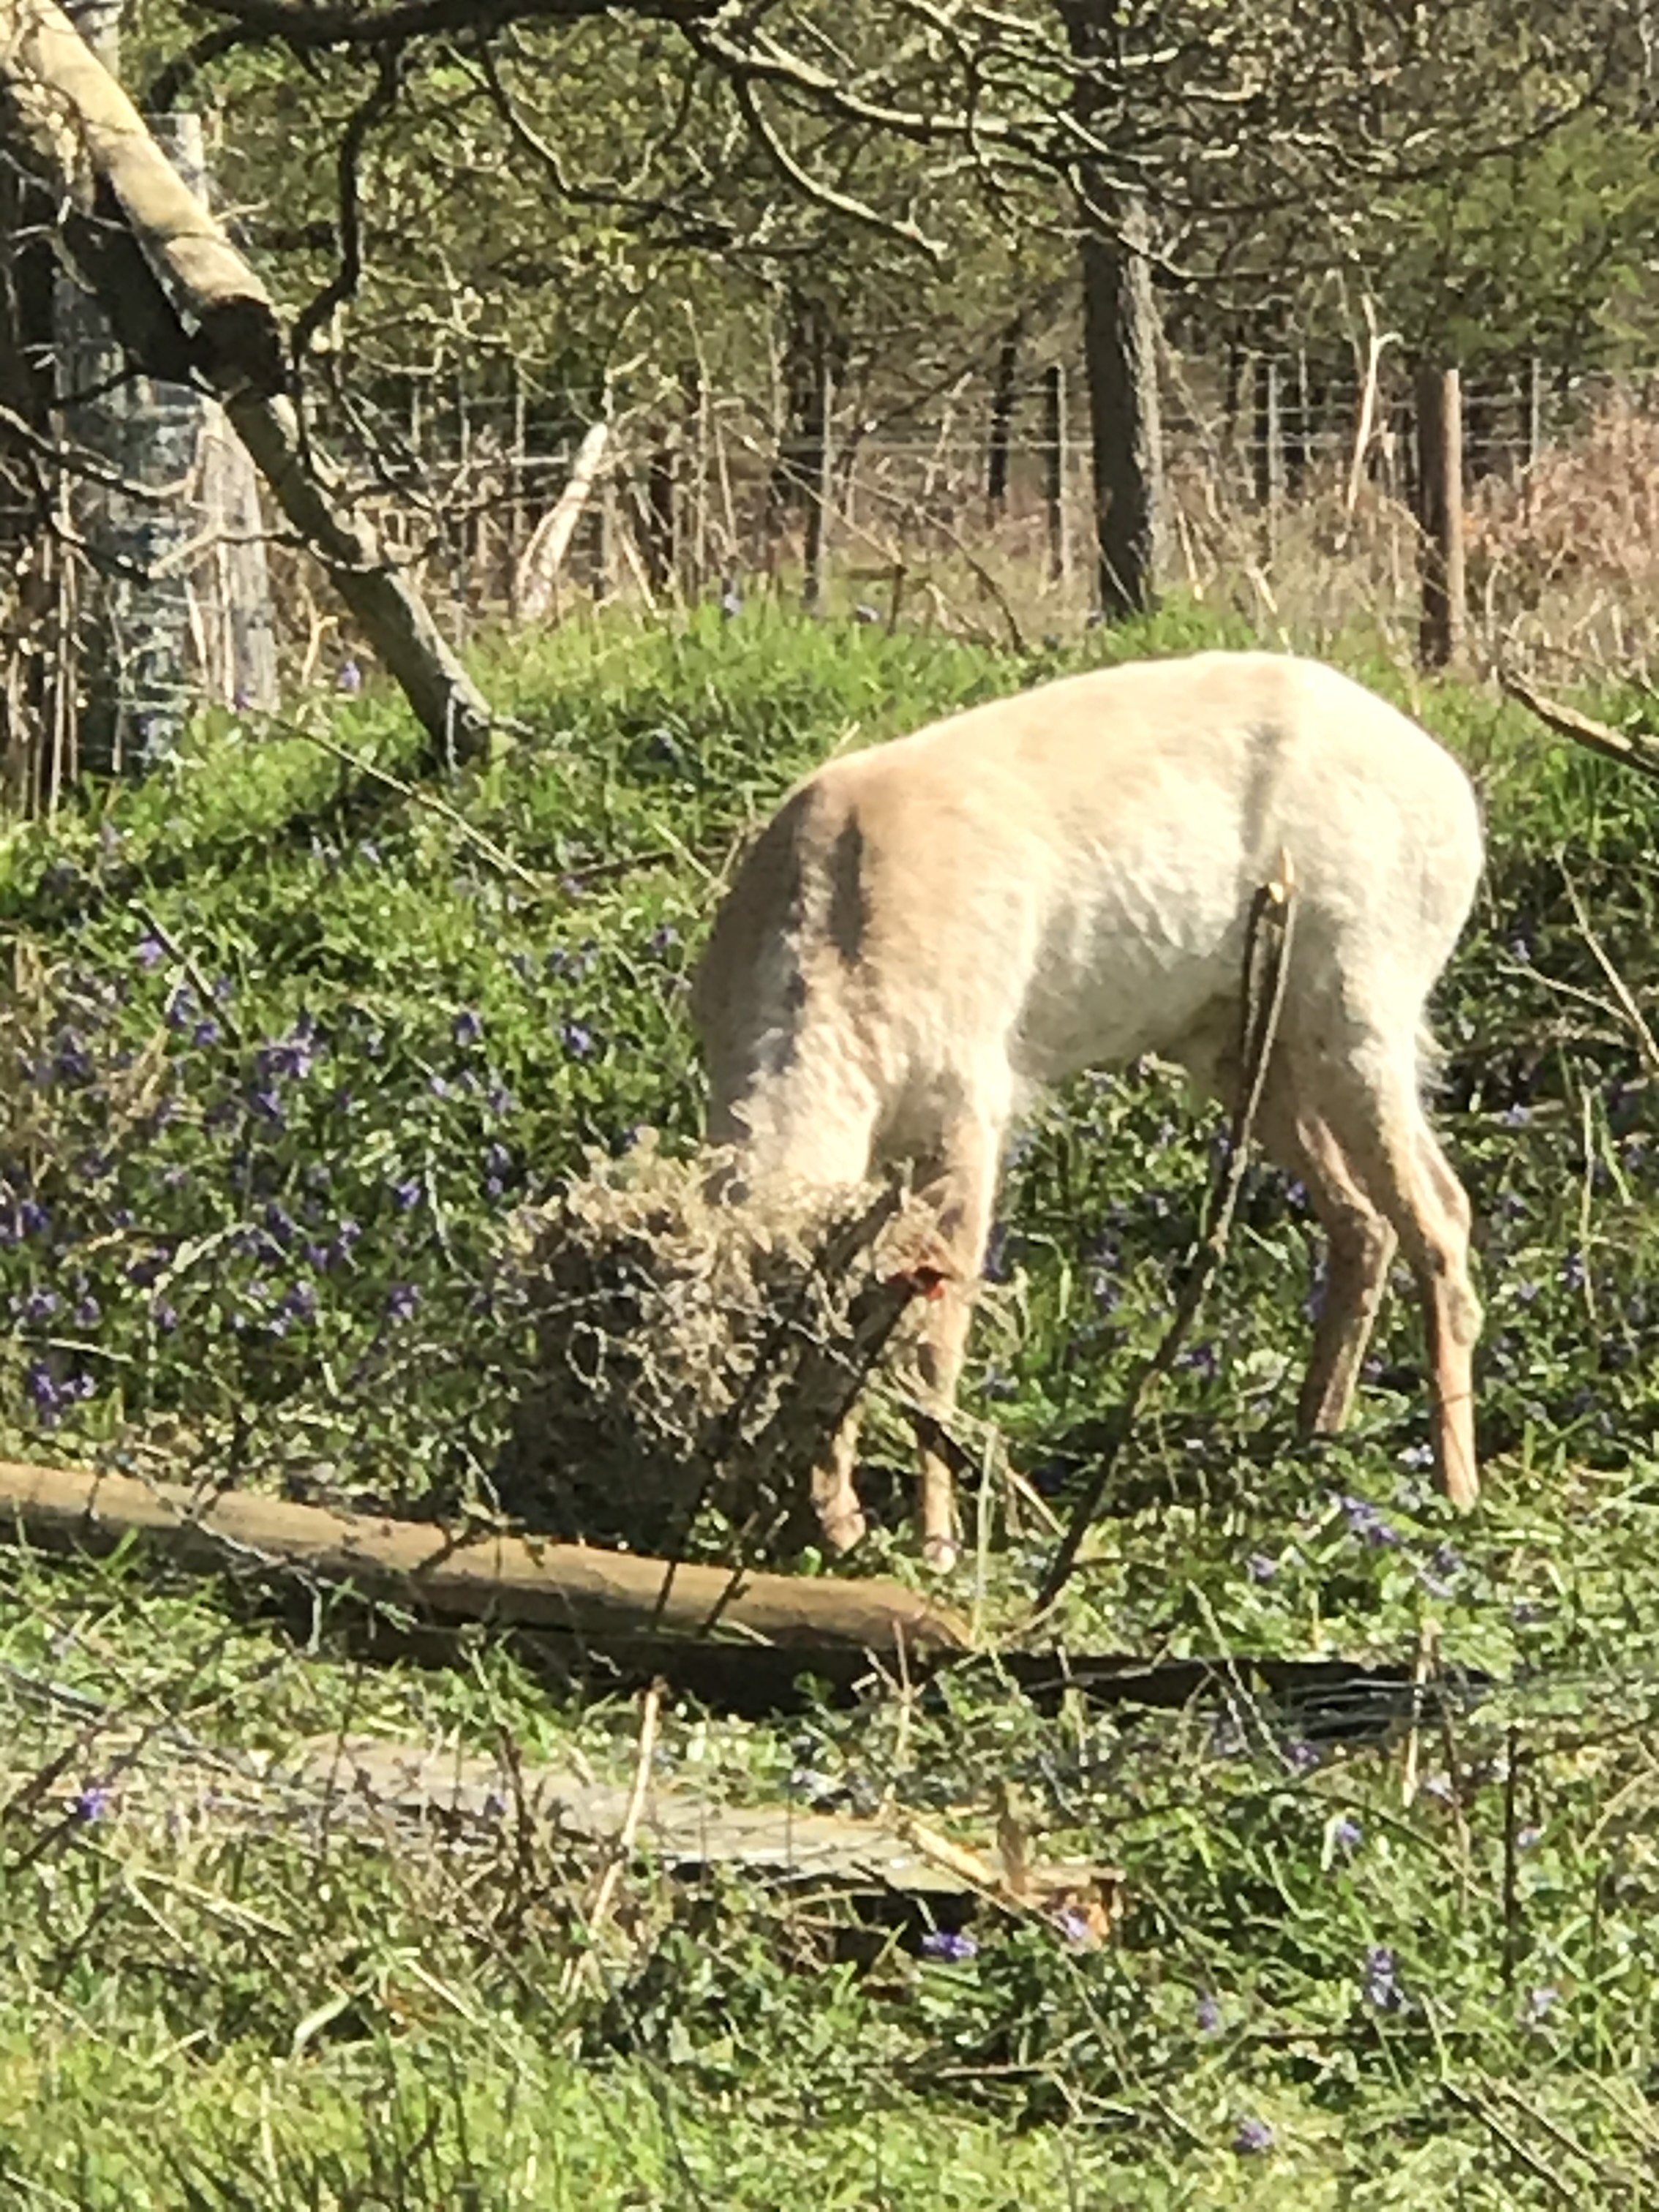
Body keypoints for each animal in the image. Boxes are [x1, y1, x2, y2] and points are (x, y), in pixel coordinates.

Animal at [690, 650, 1484, 1571]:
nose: (743, 1491)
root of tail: (1460, 801)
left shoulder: (971, 1102)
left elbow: (938, 1337)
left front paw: (936, 1543)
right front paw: (843, 1525)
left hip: (1364, 996)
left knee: (1441, 1214)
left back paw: (1454, 1489)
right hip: (1241, 1041)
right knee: (1365, 1220)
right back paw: (1308, 1440)